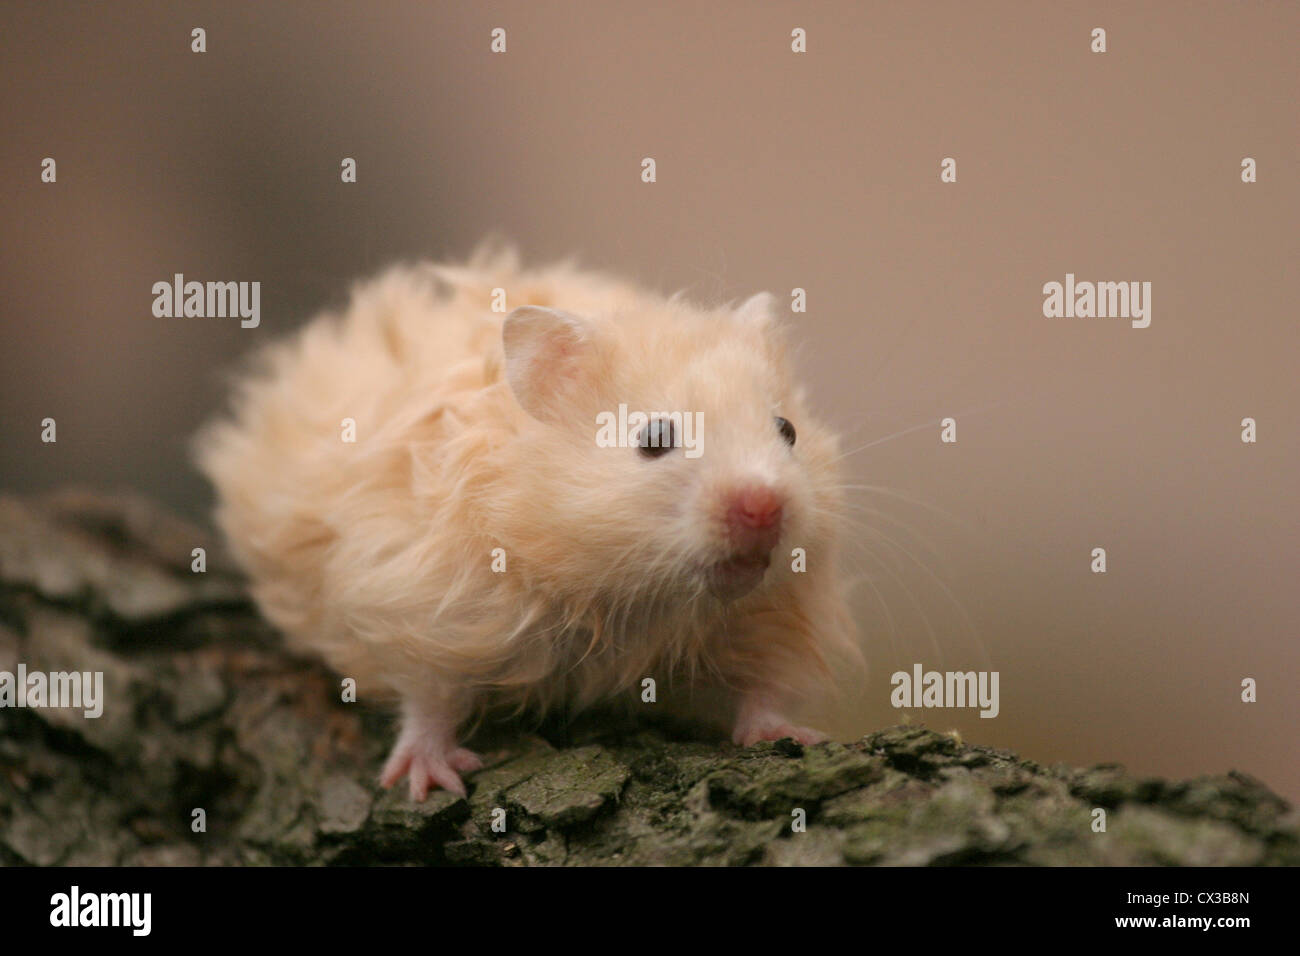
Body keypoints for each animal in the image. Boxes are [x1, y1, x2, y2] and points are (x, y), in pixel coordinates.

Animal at [195, 244, 857, 800]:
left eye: (787, 430)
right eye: (654, 440)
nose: (764, 508)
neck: (636, 595)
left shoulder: (770, 614)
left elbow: (763, 687)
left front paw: (792, 737)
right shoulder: (423, 604)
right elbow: (429, 697)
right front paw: (430, 782)